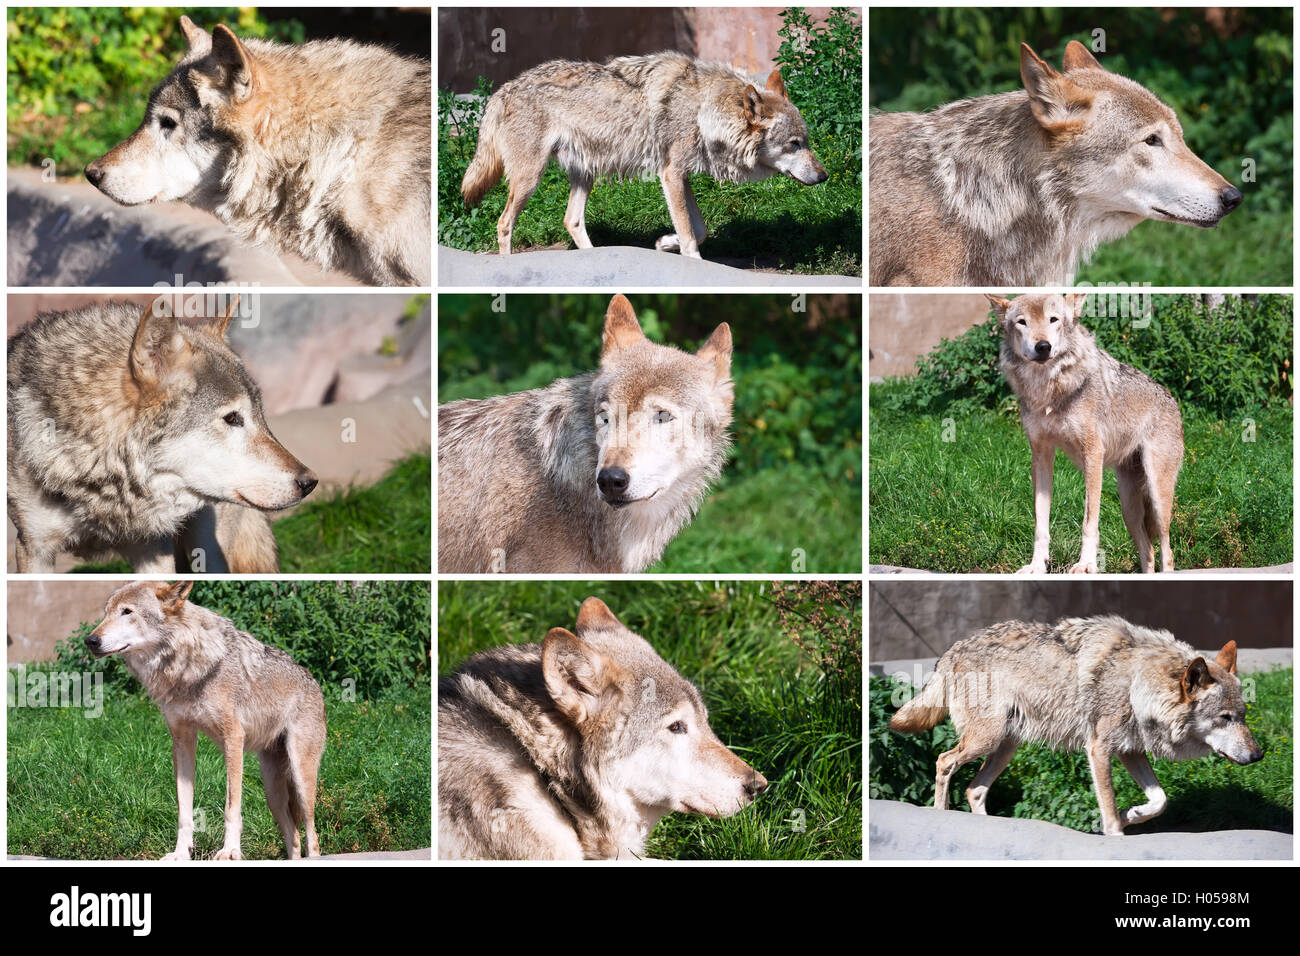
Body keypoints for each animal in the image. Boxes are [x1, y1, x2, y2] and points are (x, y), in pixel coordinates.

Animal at [8, 297, 318, 573]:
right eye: (232, 419)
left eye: (261, 416)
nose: (309, 482)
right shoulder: (33, 549)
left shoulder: (154, 547)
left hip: (208, 547)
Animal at [86, 581, 327, 860]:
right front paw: (180, 853)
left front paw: (230, 851)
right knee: (294, 837)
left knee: (312, 832)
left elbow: (232, 807)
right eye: (106, 613)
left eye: (127, 611)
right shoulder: (182, 742)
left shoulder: (233, 738)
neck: (184, 669)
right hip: (272, 792)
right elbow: (184, 811)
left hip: (300, 779)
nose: (90, 640)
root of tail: (313, 681)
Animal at [461, 51, 828, 257]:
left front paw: (665, 244)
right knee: (504, 223)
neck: (704, 111)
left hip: (585, 174)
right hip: (530, 179)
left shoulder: (680, 175)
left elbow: (699, 230)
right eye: (794, 144)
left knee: (571, 220)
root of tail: (502, 90)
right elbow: (691, 237)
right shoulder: (671, 174)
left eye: (807, 141)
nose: (824, 176)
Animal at [889, 615, 1263, 835]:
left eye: (1243, 716)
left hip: (1005, 747)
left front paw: (1131, 813)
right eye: (1224, 718)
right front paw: (1117, 828)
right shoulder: (1098, 749)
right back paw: (942, 816)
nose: (1259, 755)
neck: (1138, 685)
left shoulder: (1130, 751)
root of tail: (953, 649)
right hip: (985, 741)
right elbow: (1109, 807)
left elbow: (1160, 801)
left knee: (975, 789)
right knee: (944, 762)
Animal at [988, 292, 1183, 574]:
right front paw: (1037, 565)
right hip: (1128, 508)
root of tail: (1172, 400)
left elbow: (1089, 522)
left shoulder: (1093, 454)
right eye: (1022, 322)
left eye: (1053, 319)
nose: (1043, 346)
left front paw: (1086, 565)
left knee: (1167, 552)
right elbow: (1040, 524)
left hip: (1157, 497)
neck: (1048, 389)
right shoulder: (1041, 457)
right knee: (1148, 554)